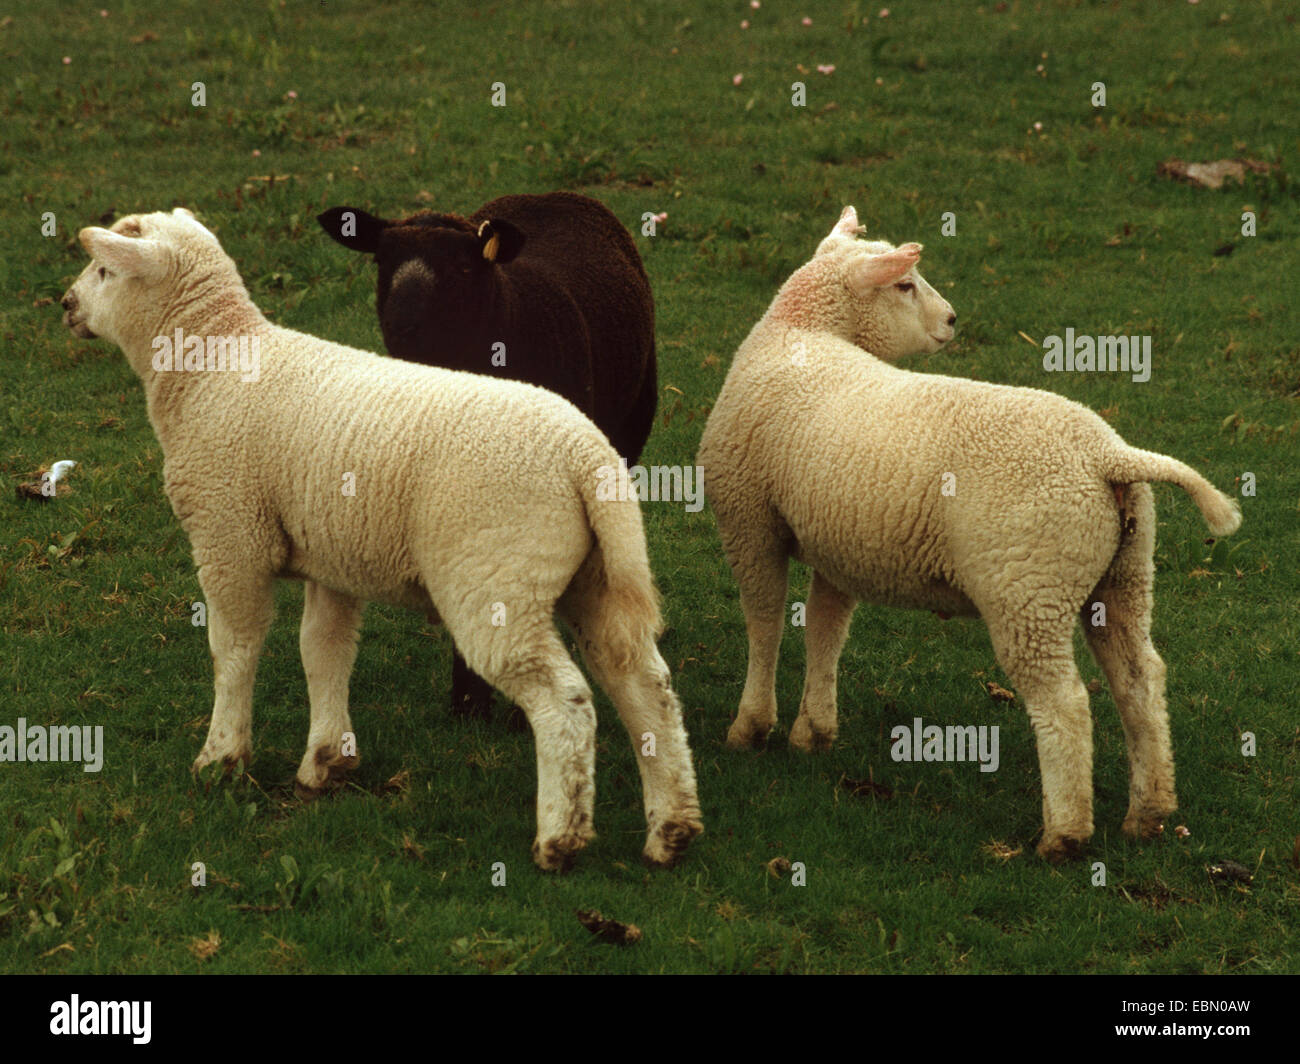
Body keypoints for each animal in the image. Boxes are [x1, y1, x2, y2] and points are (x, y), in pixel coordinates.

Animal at [697, 205, 1242, 861]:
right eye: (905, 286)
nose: (953, 319)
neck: (803, 334)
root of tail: (1107, 456)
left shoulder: (749, 518)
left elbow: (765, 621)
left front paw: (751, 727)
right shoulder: (838, 542)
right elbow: (826, 630)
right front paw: (813, 731)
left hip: (1028, 589)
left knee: (1064, 703)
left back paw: (1064, 834)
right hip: (1124, 576)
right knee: (1141, 680)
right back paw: (1149, 811)